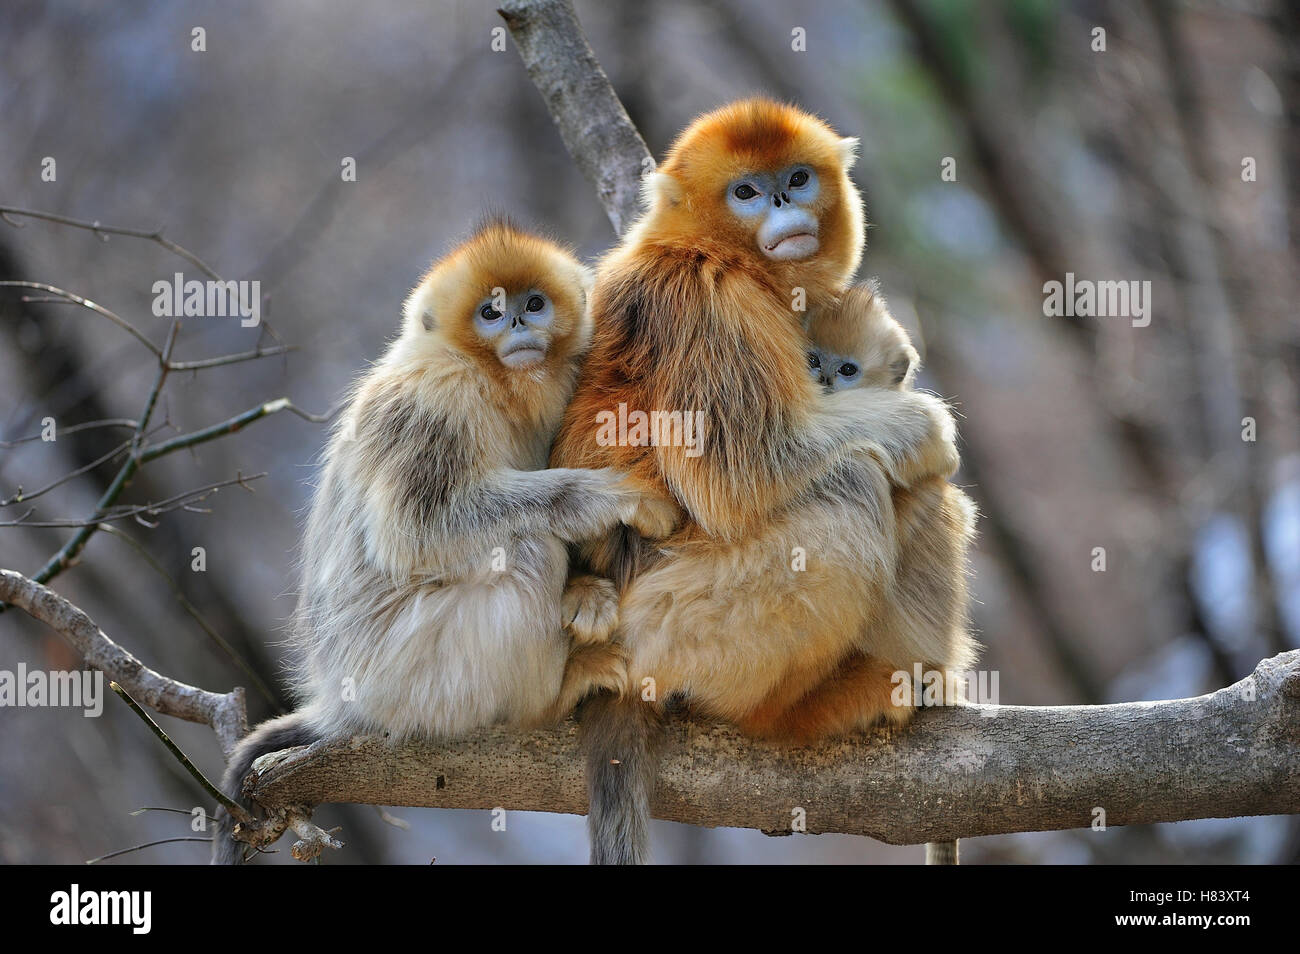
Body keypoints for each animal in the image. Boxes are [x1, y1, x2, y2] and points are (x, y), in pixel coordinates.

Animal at [212, 220, 676, 864]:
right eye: (491, 312)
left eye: (534, 303)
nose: (519, 324)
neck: (490, 379)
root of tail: (341, 701)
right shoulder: (437, 398)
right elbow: (416, 529)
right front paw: (608, 498)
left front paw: (587, 592)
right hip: (410, 676)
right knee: (525, 552)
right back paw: (552, 696)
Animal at [549, 99, 971, 863]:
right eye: (746, 191)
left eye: (797, 178)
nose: (781, 203)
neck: (724, 254)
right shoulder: (708, 300)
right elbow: (744, 469)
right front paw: (924, 427)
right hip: (667, 624)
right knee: (857, 487)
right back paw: (799, 711)